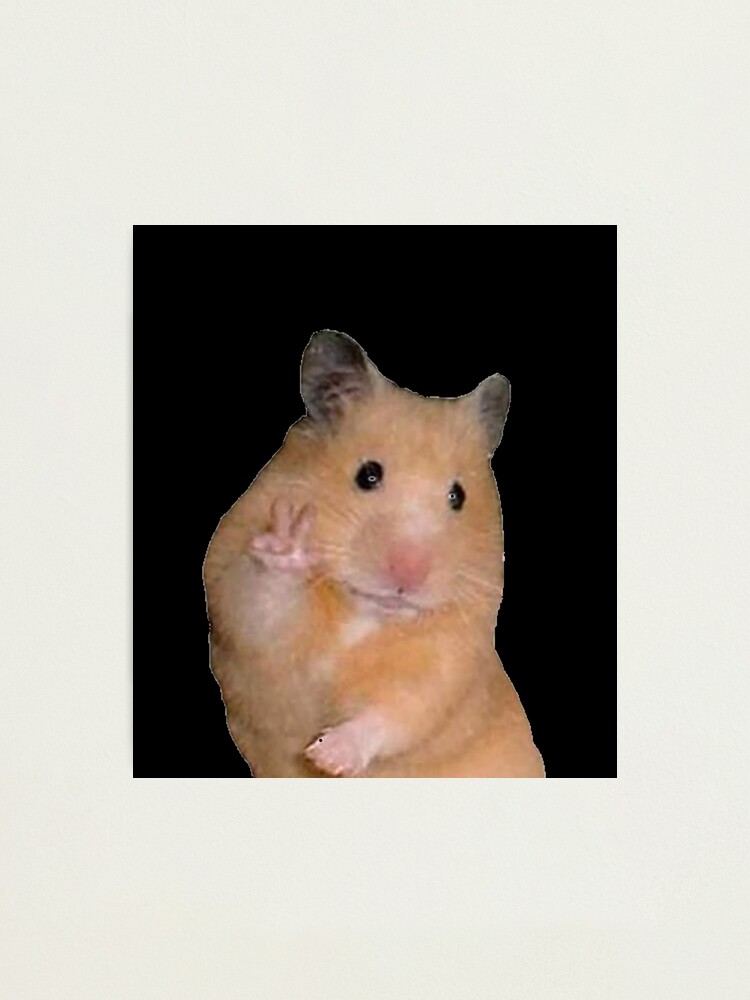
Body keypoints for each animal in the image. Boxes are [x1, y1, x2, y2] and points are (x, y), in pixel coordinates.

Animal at [203, 331, 545, 778]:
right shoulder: (238, 612)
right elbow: (263, 602)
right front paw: (290, 538)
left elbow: (395, 713)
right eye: (367, 475)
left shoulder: (447, 663)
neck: (365, 614)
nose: (408, 575)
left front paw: (326, 757)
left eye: (458, 496)